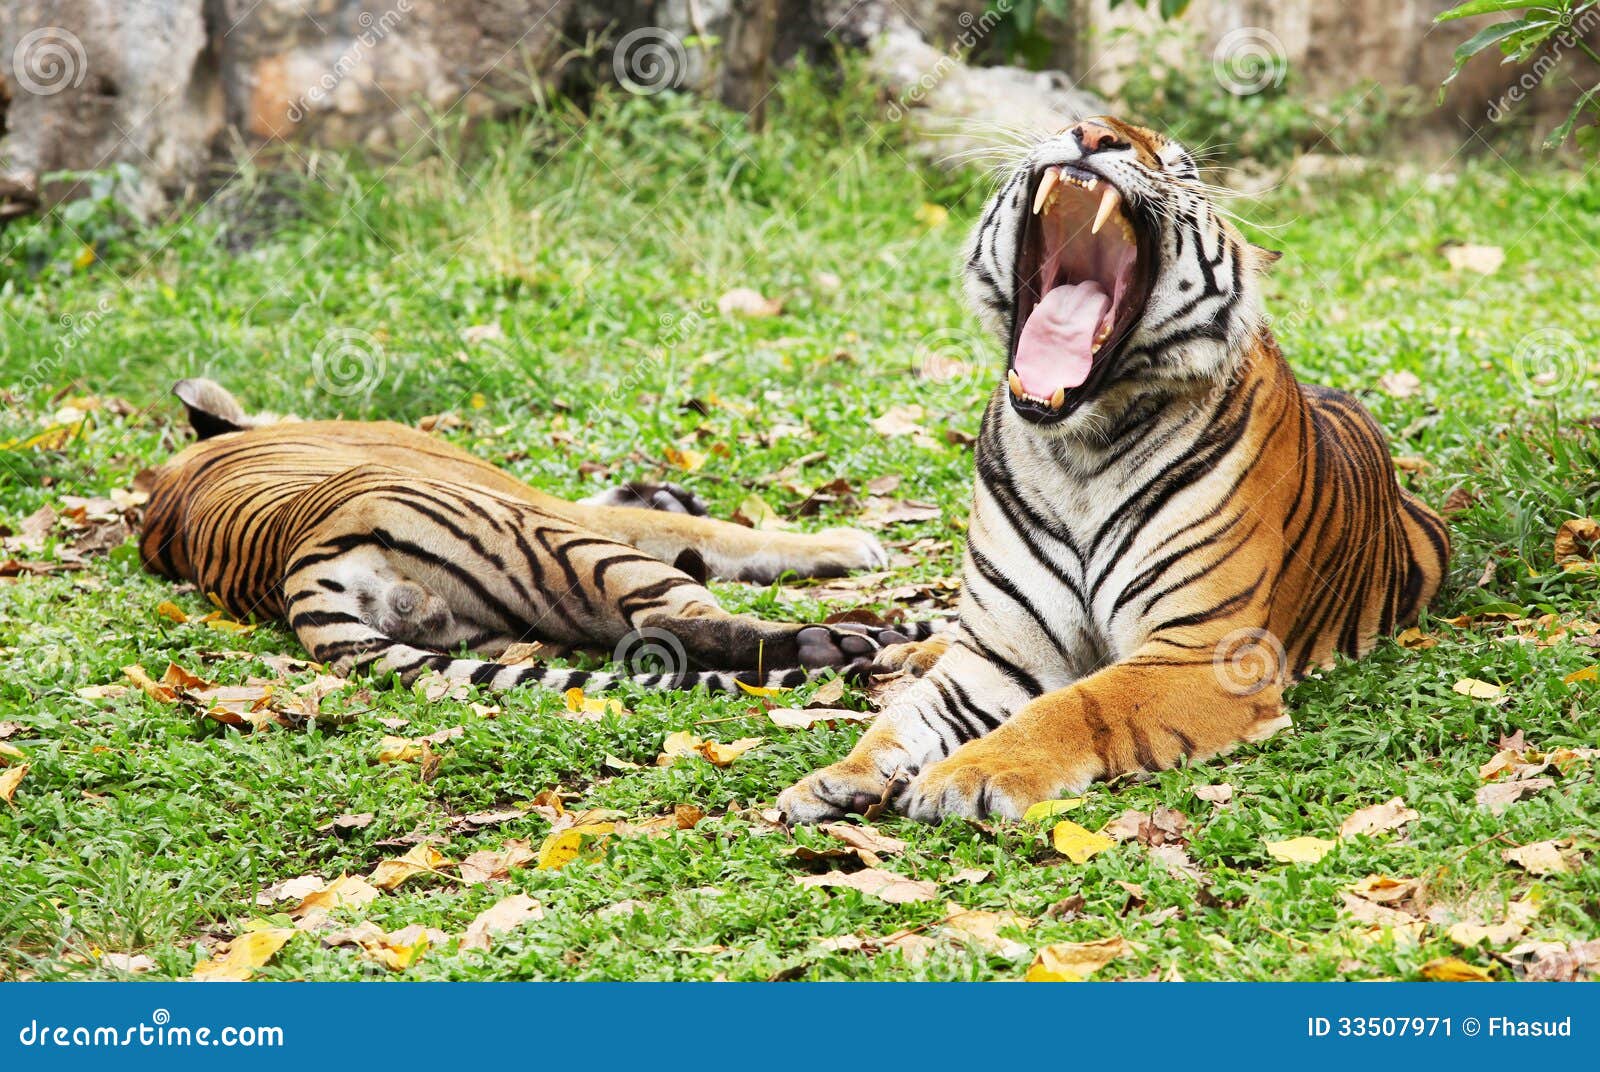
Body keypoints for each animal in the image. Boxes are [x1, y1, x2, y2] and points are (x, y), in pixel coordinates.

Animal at [137, 378, 931, 695]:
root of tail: (298, 565)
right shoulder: (551, 504)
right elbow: (705, 528)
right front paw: (850, 542)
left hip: (515, 625)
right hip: (561, 542)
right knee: (684, 620)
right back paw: (849, 640)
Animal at [778, 116, 1450, 823]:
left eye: (1183, 168)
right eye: (1069, 120)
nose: (1095, 133)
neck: (1078, 450)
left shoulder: (1202, 653)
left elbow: (1075, 704)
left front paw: (970, 774)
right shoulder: (1000, 650)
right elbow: (908, 719)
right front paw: (836, 777)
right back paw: (906, 654)